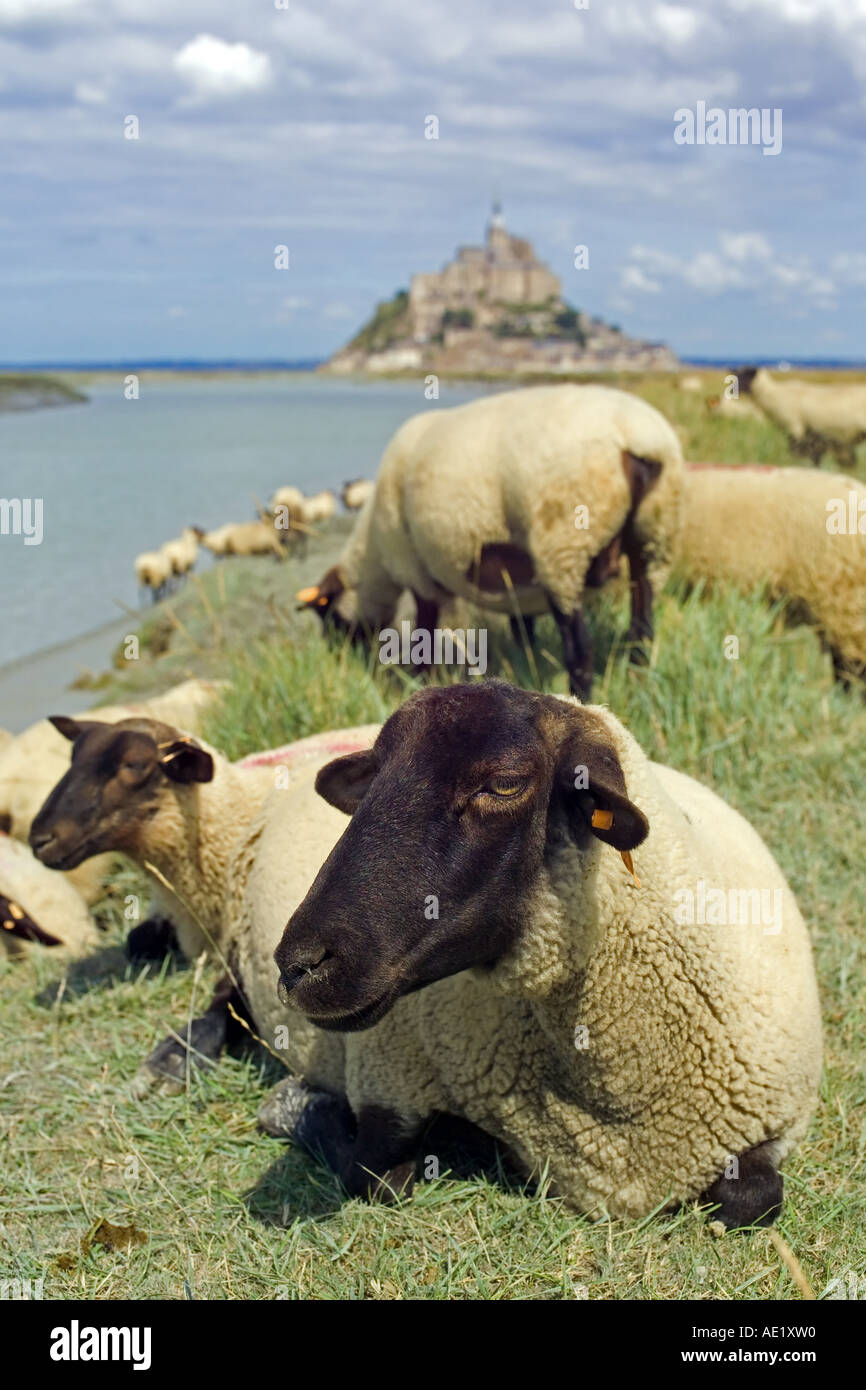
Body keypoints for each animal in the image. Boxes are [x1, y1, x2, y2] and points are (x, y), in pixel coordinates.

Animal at [271, 680, 822, 1228]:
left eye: (505, 784)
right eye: (375, 775)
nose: (298, 965)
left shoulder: (778, 1121)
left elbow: (751, 1198)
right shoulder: (388, 1084)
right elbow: (373, 1176)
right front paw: (298, 1108)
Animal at [296, 385, 684, 697]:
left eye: (329, 615)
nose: (339, 657)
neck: (374, 557)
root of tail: (637, 435)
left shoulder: (418, 573)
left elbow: (425, 634)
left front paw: (418, 681)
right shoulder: (519, 586)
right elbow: (522, 629)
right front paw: (524, 666)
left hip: (563, 547)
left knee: (580, 648)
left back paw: (582, 700)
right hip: (655, 538)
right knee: (642, 625)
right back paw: (638, 682)